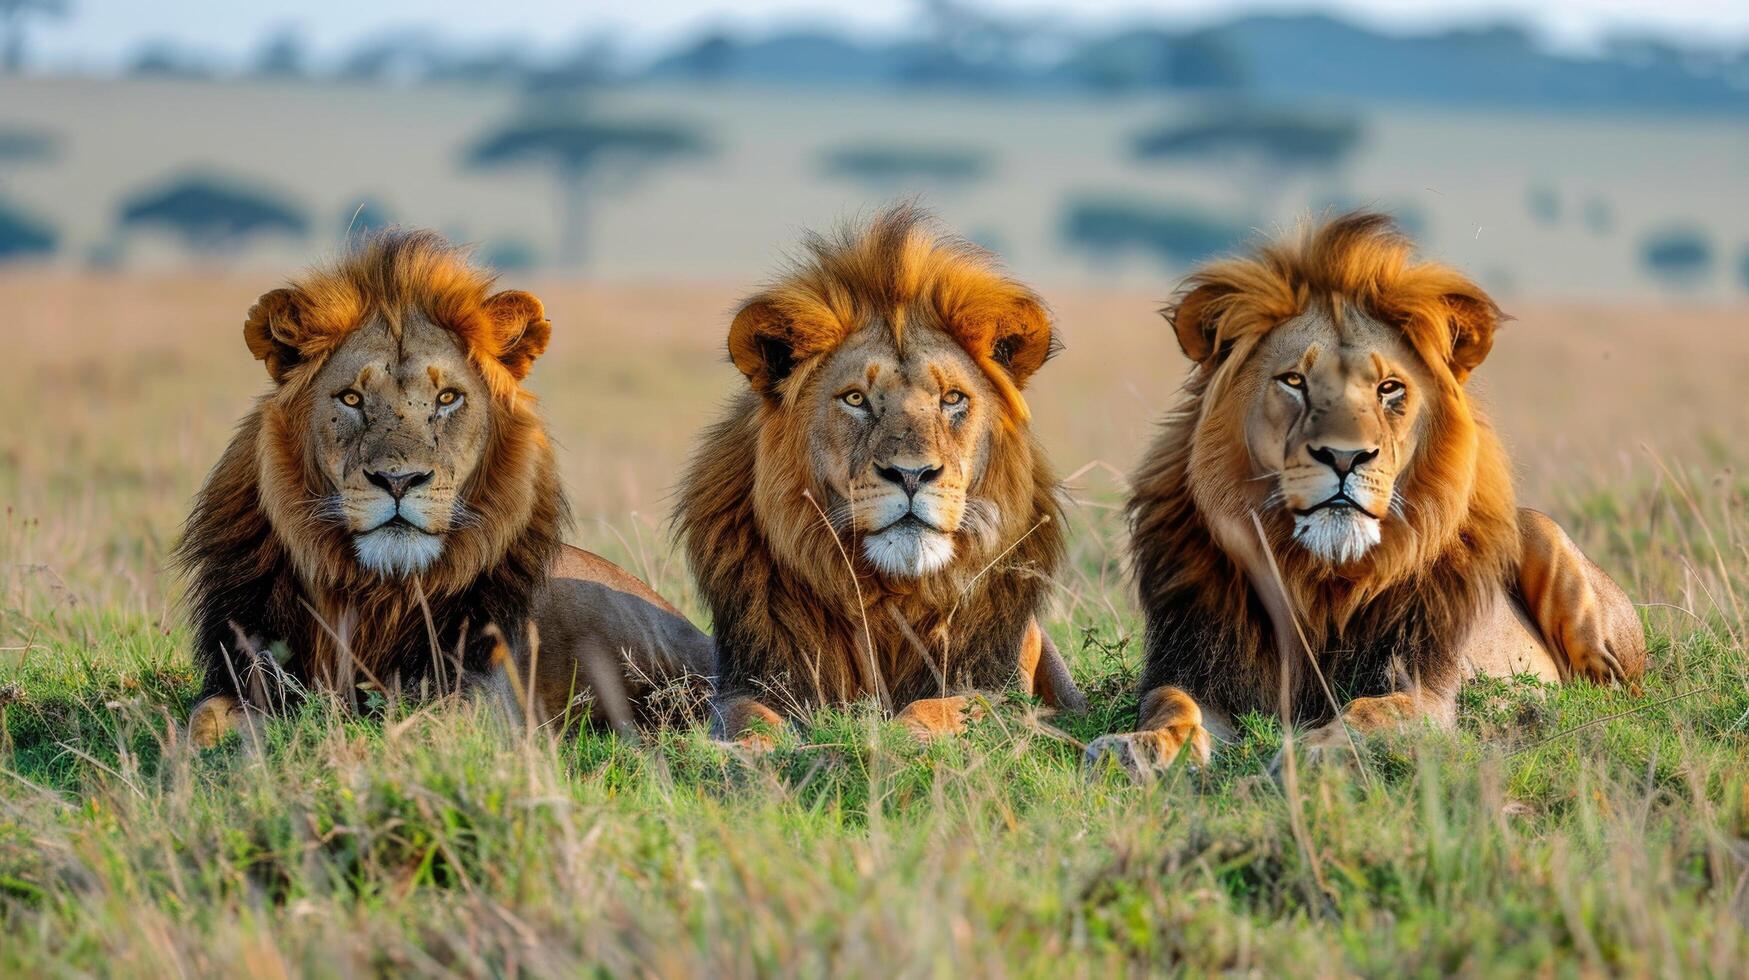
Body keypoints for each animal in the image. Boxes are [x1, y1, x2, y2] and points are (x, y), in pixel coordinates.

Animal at [177, 230, 713, 747]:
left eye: (448, 398)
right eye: (351, 399)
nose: (398, 480)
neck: (382, 594)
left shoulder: (488, 695)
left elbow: (429, 725)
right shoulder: (245, 671)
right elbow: (203, 721)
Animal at [674, 206, 1086, 743]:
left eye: (952, 398)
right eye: (855, 399)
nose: (912, 474)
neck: (892, 598)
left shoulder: (998, 688)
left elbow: (949, 707)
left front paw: (901, 735)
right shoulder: (753, 678)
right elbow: (748, 716)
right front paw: (753, 749)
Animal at [1085, 212, 1646, 776]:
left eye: (1389, 388)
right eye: (1294, 381)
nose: (1343, 457)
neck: (1317, 577)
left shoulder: (1425, 688)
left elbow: (1373, 712)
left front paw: (1315, 752)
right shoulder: (1203, 668)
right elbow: (1171, 702)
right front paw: (1136, 746)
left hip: (1551, 548)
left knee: (1615, 691)